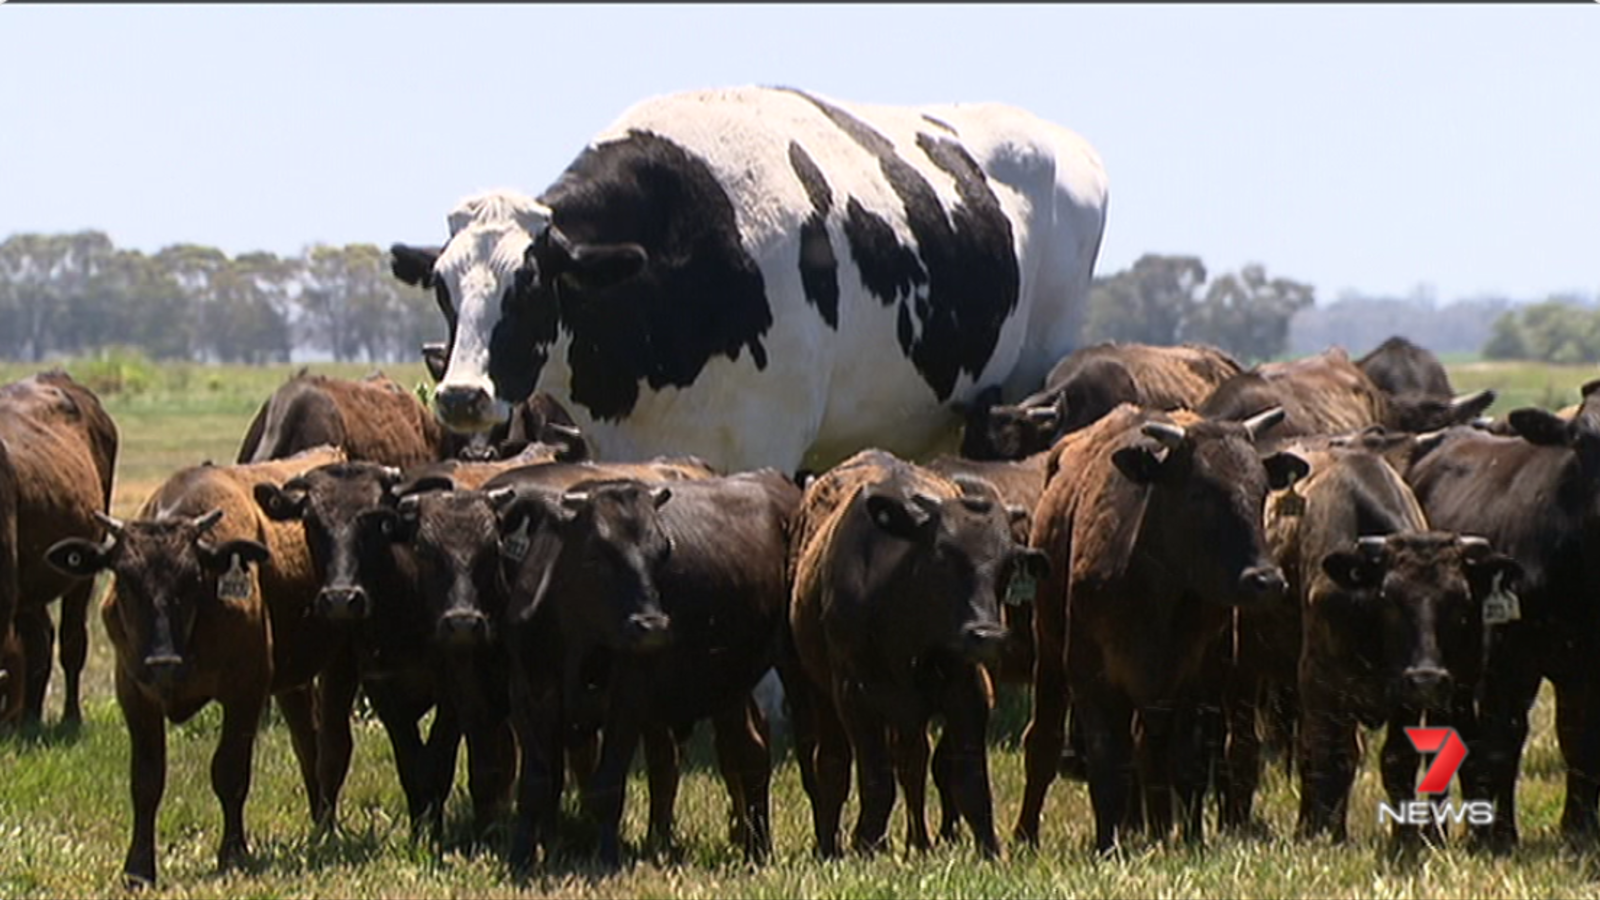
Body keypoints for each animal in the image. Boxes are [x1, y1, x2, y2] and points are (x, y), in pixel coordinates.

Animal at [44, 446, 350, 887]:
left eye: (192, 578)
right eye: (125, 578)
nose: (162, 661)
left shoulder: (245, 692)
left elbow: (230, 772)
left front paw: (233, 852)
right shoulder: (135, 693)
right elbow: (146, 780)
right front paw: (138, 868)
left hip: (339, 662)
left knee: (331, 745)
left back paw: (327, 826)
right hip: (293, 681)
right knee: (307, 741)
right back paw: (318, 821)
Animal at [784, 449, 1047, 858]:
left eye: (1006, 567)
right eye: (942, 555)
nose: (986, 634)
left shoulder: (967, 689)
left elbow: (969, 780)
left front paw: (990, 849)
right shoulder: (854, 694)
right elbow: (876, 779)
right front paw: (865, 843)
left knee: (912, 762)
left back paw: (918, 843)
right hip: (819, 691)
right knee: (833, 764)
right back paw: (830, 845)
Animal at [1013, 404, 1308, 853]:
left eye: (1261, 492)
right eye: (1199, 493)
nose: (1266, 580)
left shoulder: (1196, 678)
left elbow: (1186, 761)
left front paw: (1190, 839)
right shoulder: (1091, 675)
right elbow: (1107, 760)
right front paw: (1107, 844)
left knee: (1150, 751)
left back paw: (1153, 828)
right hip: (1048, 649)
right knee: (1043, 742)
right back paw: (1028, 834)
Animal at [1405, 382, 1600, 850]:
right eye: (1583, 440)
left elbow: (1582, 740)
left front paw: (1579, 828)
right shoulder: (1510, 659)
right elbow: (1505, 739)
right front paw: (1500, 836)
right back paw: (1443, 828)